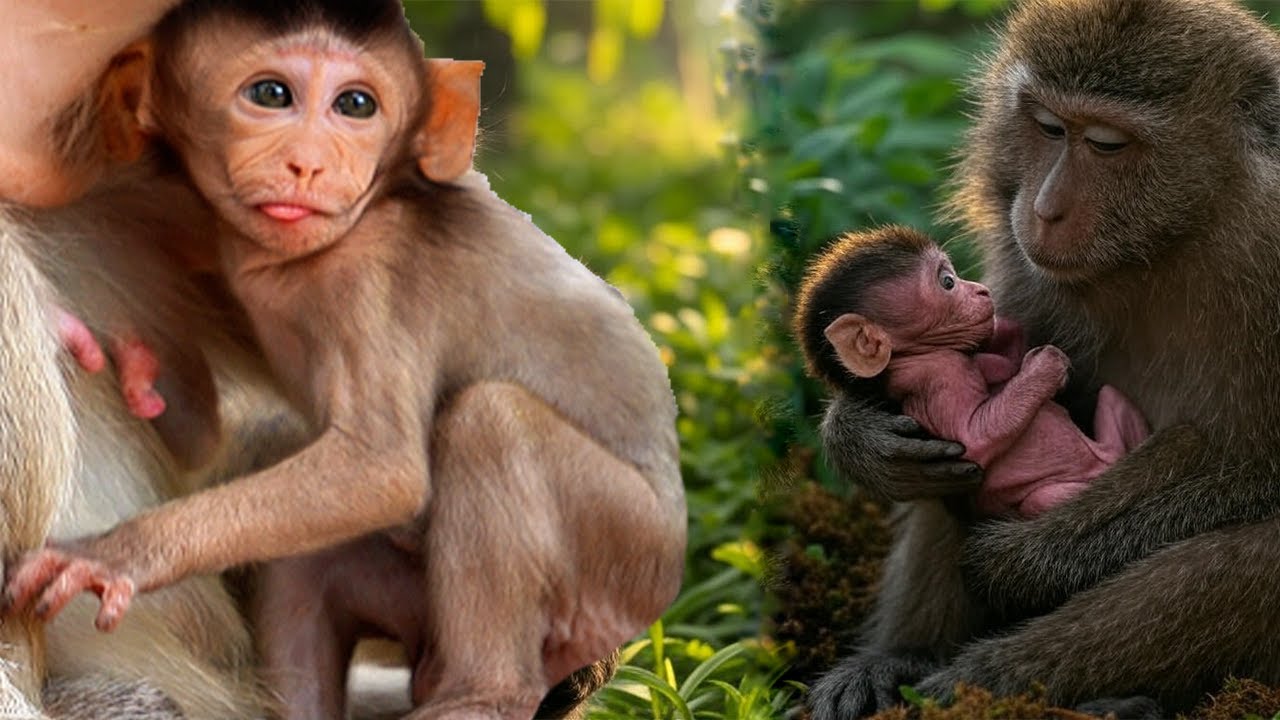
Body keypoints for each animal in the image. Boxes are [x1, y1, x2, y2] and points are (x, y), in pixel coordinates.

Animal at [4, 2, 687, 719]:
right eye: (270, 94)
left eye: (357, 105)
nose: (309, 165)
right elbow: (203, 438)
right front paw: (132, 367)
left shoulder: (370, 280)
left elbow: (381, 467)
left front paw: (120, 556)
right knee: (303, 564)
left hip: (627, 551)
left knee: (492, 424)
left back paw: (486, 694)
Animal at [795, 226, 1149, 518]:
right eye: (948, 282)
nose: (982, 290)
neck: (923, 353)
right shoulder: (938, 375)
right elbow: (975, 435)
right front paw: (1048, 363)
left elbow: (1002, 366)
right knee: (1042, 499)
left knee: (1111, 399)